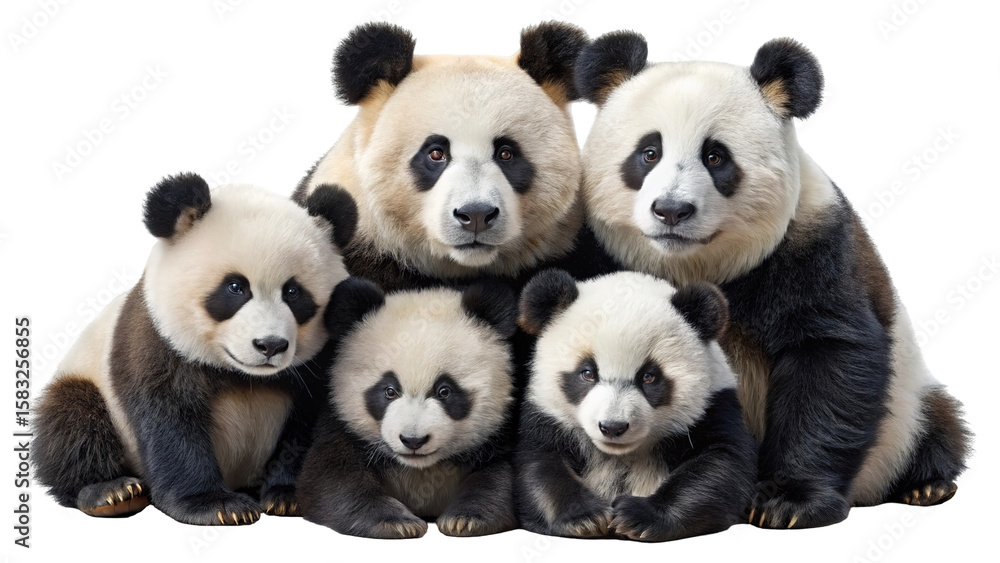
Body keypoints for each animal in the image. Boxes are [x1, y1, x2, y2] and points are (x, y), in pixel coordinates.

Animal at [34, 173, 356, 525]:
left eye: (294, 292)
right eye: (235, 287)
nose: (270, 345)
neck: (243, 375)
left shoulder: (317, 361)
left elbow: (306, 425)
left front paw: (288, 496)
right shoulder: (156, 339)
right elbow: (169, 421)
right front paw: (216, 505)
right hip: (85, 380)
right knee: (72, 423)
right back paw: (110, 492)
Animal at [296, 278, 519, 539]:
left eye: (444, 391)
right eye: (389, 390)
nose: (413, 440)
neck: (420, 469)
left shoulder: (501, 434)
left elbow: (503, 479)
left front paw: (464, 519)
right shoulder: (341, 426)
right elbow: (331, 479)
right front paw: (396, 523)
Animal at [515, 269, 757, 541]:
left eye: (649, 376)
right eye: (588, 373)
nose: (613, 427)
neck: (620, 454)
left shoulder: (714, 407)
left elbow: (718, 466)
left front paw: (637, 516)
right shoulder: (546, 416)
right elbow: (541, 467)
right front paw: (586, 518)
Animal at [574, 33, 972, 528]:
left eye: (715, 157)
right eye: (649, 153)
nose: (671, 210)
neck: (695, 265)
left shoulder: (811, 245)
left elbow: (828, 359)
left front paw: (788, 502)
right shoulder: (592, 249)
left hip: (906, 407)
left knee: (937, 422)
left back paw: (926, 485)